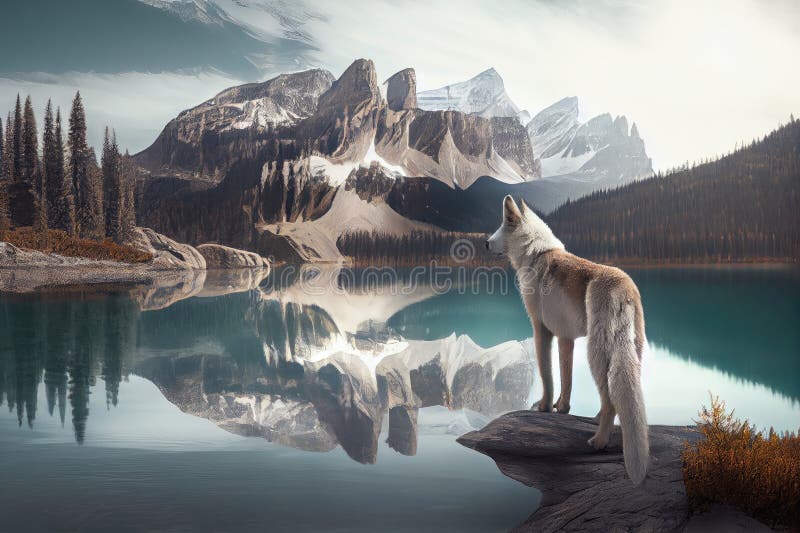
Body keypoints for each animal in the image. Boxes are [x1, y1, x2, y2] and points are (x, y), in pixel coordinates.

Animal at [486, 195, 649, 485]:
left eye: (501, 225)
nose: (485, 242)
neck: (537, 254)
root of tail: (624, 290)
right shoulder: (566, 338)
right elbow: (566, 380)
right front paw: (562, 408)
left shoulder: (541, 331)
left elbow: (548, 376)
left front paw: (544, 407)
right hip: (631, 353)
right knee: (617, 398)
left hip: (596, 354)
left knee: (609, 401)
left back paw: (599, 441)